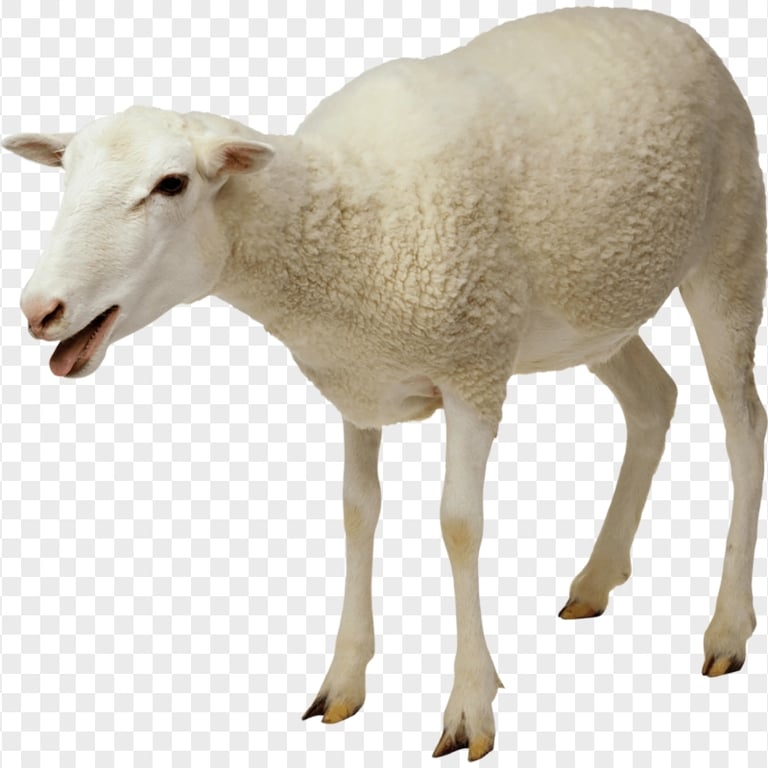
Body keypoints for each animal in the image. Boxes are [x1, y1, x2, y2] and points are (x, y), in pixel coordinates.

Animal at [3, 6, 765, 762]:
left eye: (172, 184)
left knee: (743, 424)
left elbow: (459, 525)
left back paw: (727, 628)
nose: (40, 310)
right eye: (65, 177)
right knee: (654, 400)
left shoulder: (474, 366)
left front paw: (470, 706)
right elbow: (356, 511)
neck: (341, 222)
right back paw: (598, 578)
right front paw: (343, 681)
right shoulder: (357, 384)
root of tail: (670, 24)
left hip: (730, 247)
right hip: (596, 310)